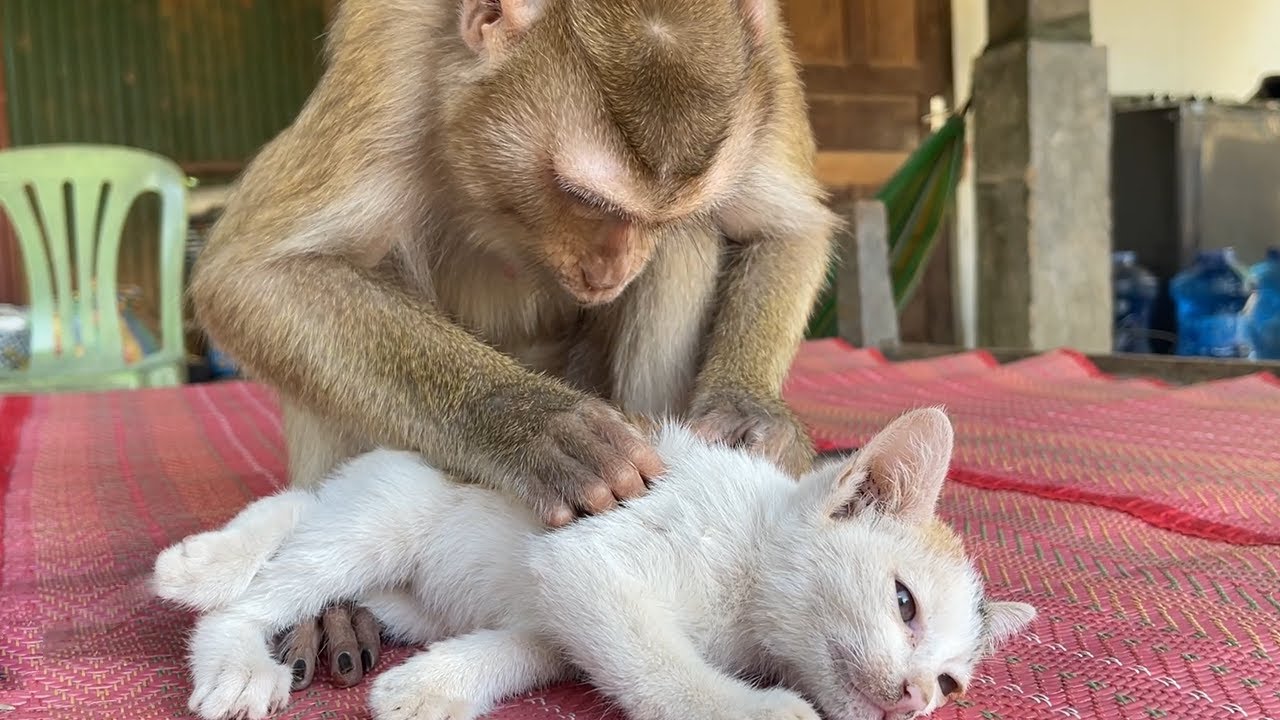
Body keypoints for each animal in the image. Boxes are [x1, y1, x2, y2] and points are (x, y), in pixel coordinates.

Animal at [188, 0, 838, 693]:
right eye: (583, 197)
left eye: (652, 217)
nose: (611, 270)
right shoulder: (391, 60)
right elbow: (254, 276)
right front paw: (540, 429)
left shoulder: (771, 61)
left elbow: (783, 230)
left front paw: (754, 418)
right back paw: (328, 605)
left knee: (692, 243)